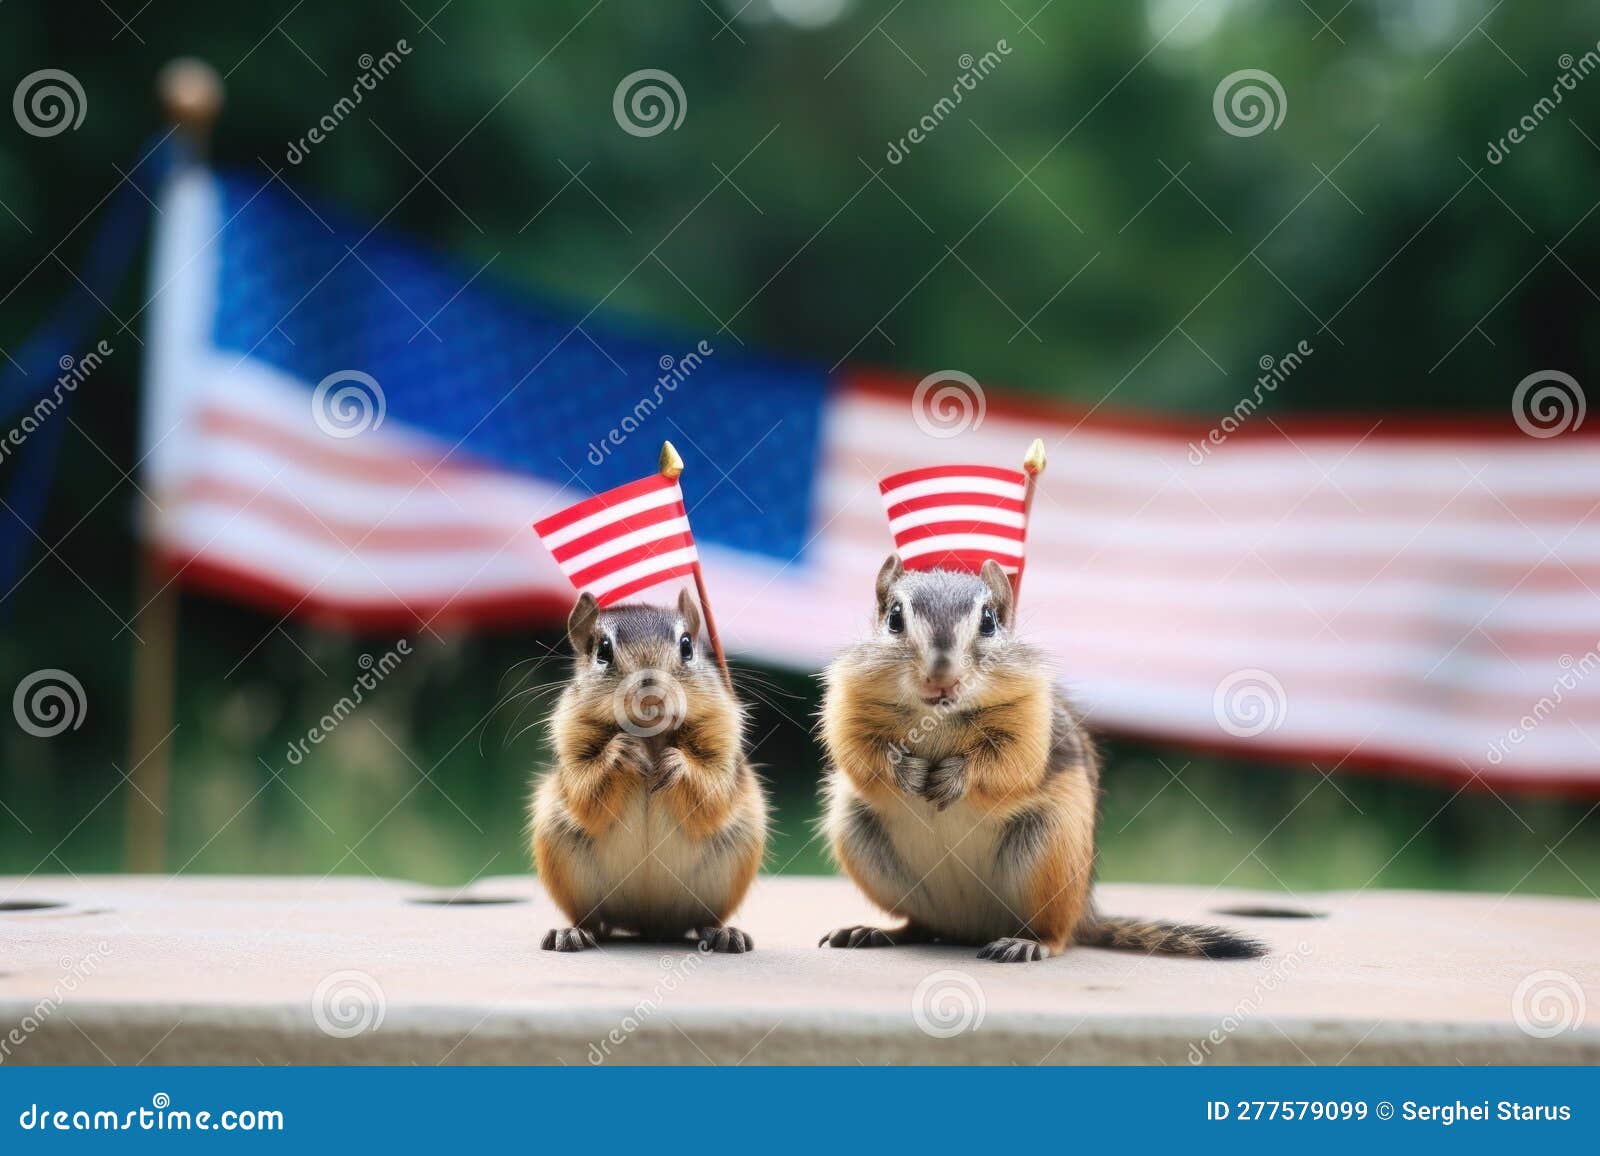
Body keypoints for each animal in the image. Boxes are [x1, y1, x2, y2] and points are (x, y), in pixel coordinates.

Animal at [529, 587, 767, 953]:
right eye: (603, 650)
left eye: (687, 646)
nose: (651, 690)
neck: (651, 737)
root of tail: (648, 923)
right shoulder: (572, 742)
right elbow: (585, 796)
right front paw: (621, 753)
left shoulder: (722, 740)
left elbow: (712, 794)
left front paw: (675, 763)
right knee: (593, 921)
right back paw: (571, 933)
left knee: (704, 921)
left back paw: (724, 934)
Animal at [818, 554, 1265, 963]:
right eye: (895, 618)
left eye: (988, 622)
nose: (942, 677)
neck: (938, 714)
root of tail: (968, 927)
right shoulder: (848, 704)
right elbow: (857, 753)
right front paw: (905, 771)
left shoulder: (1033, 719)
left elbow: (1010, 764)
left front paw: (956, 776)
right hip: (861, 838)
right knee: (920, 925)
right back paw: (874, 932)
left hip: (1051, 848)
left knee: (1058, 934)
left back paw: (1028, 943)